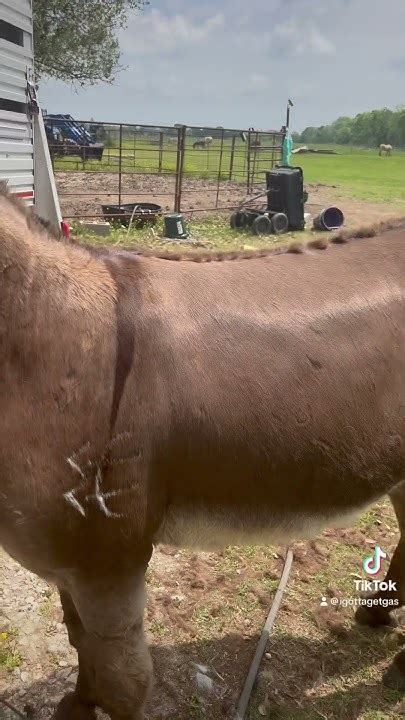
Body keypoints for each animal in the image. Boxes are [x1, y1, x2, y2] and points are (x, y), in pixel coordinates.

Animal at [0, 187, 404, 719]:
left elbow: (122, 684)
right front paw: (77, 705)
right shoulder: (73, 567)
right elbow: (78, 641)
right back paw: (377, 619)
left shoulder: (107, 564)